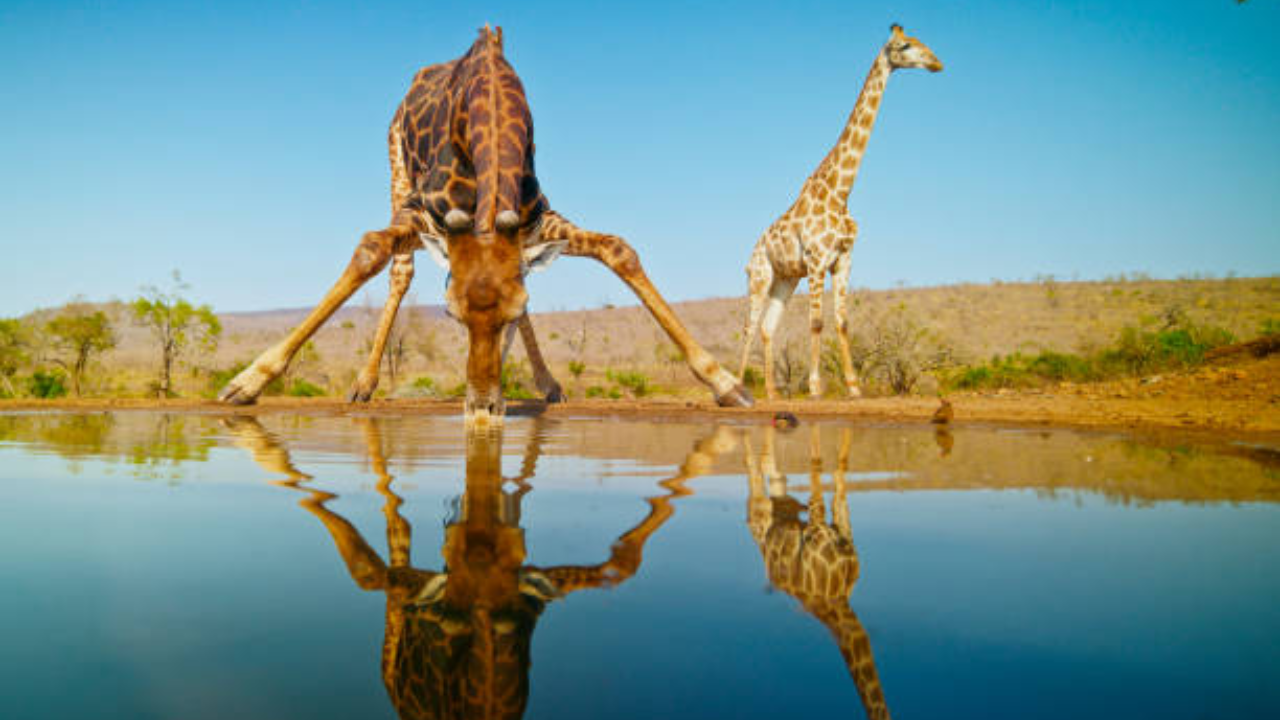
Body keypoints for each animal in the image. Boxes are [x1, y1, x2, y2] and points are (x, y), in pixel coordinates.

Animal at [217, 26, 751, 425]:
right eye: (449, 315)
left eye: (514, 313)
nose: (481, 409)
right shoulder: (421, 209)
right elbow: (370, 250)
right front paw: (247, 382)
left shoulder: (538, 220)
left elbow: (618, 250)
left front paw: (726, 384)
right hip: (396, 172)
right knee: (399, 270)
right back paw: (364, 385)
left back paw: (548, 385)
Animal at [739, 24, 943, 400]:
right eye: (905, 46)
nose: (937, 63)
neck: (840, 190)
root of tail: (750, 255)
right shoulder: (818, 260)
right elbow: (817, 323)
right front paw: (816, 387)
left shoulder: (844, 259)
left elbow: (842, 322)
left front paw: (853, 386)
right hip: (760, 277)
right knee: (749, 324)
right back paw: (739, 385)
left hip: (785, 279)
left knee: (768, 327)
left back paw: (772, 392)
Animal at [744, 424, 893, 720]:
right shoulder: (816, 522)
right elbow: (817, 467)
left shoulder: (841, 519)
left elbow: (840, 472)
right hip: (761, 514)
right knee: (755, 479)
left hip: (782, 504)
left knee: (768, 468)